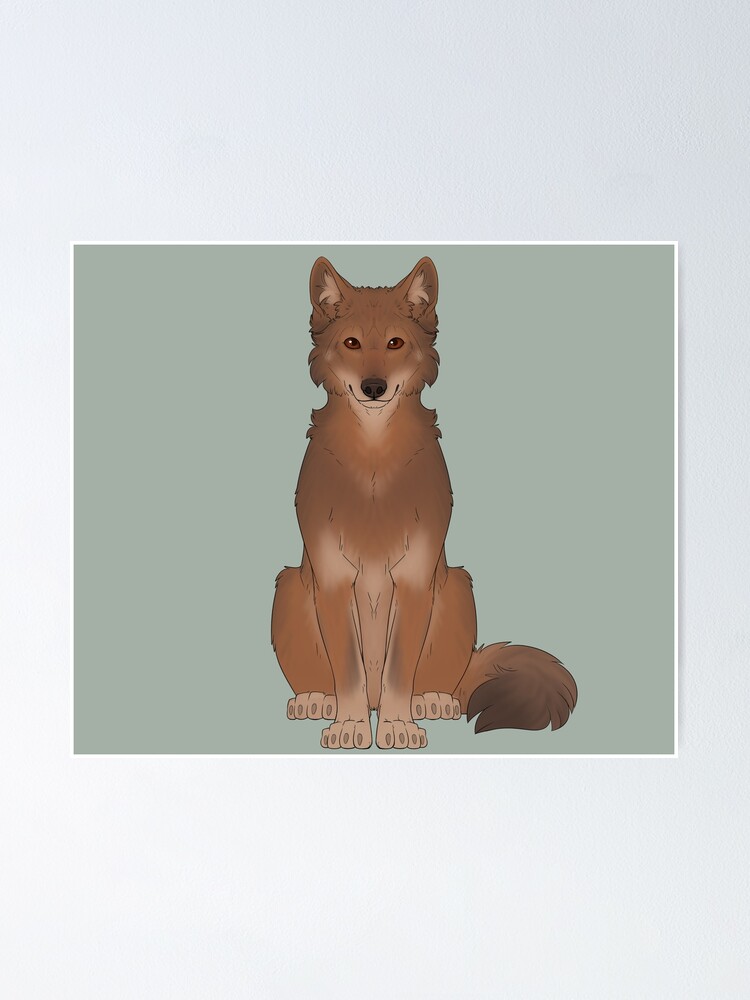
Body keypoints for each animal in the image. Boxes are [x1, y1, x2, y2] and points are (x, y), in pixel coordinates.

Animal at [271, 256, 577, 750]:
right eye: (352, 343)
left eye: (395, 343)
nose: (373, 387)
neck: (374, 466)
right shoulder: (332, 580)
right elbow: (348, 670)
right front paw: (352, 726)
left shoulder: (415, 579)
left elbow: (400, 670)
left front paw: (396, 726)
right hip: (289, 586)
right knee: (328, 679)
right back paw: (316, 699)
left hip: (456, 586)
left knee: (440, 682)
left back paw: (431, 700)